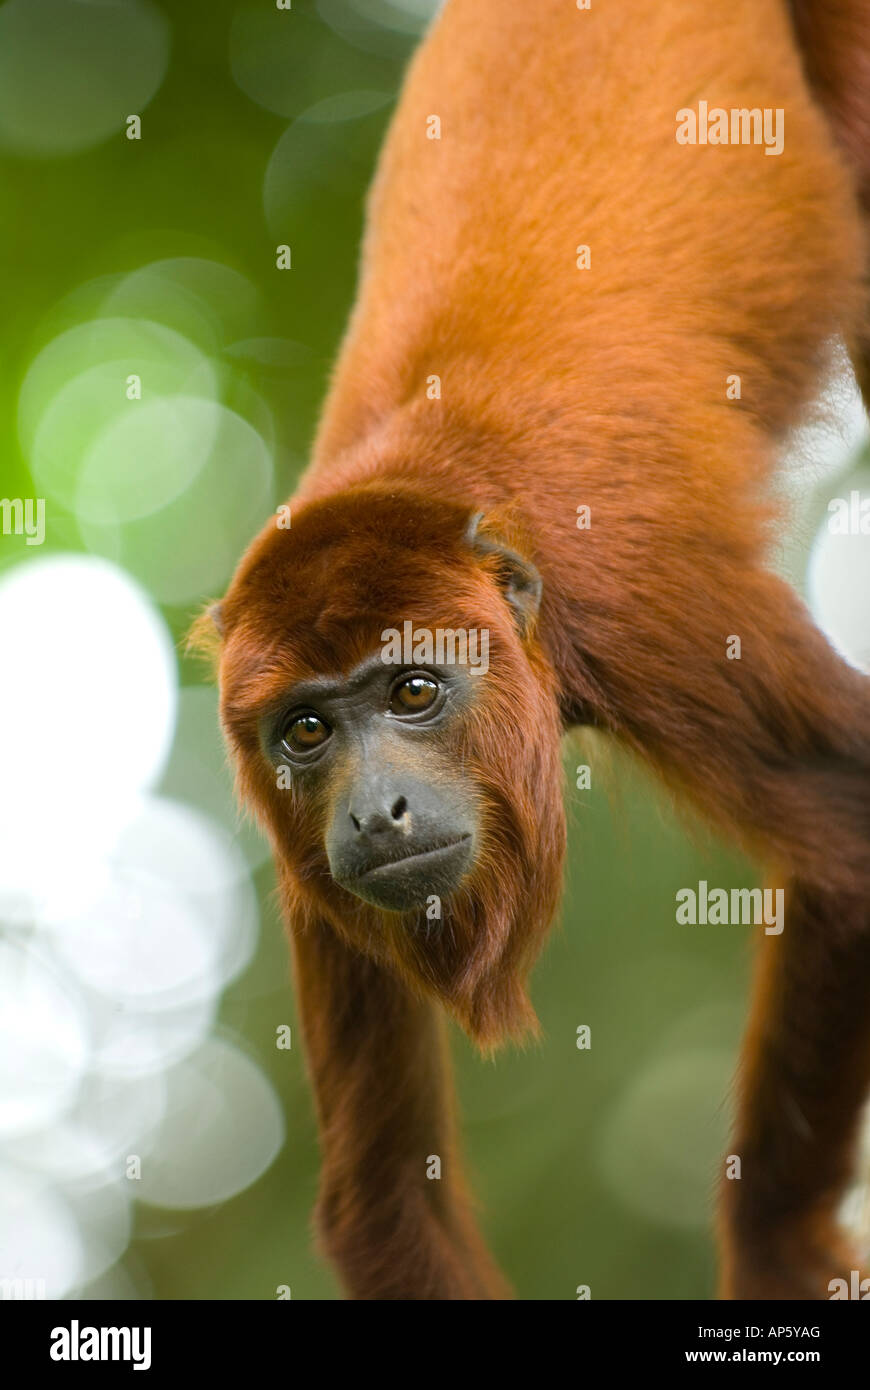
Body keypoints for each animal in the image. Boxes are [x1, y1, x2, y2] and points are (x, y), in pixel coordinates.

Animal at [192, 0, 870, 1299]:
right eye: (307, 730)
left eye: (415, 690)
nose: (378, 812)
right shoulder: (308, 860)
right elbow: (387, 1201)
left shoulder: (652, 610)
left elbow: (853, 835)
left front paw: (780, 1243)